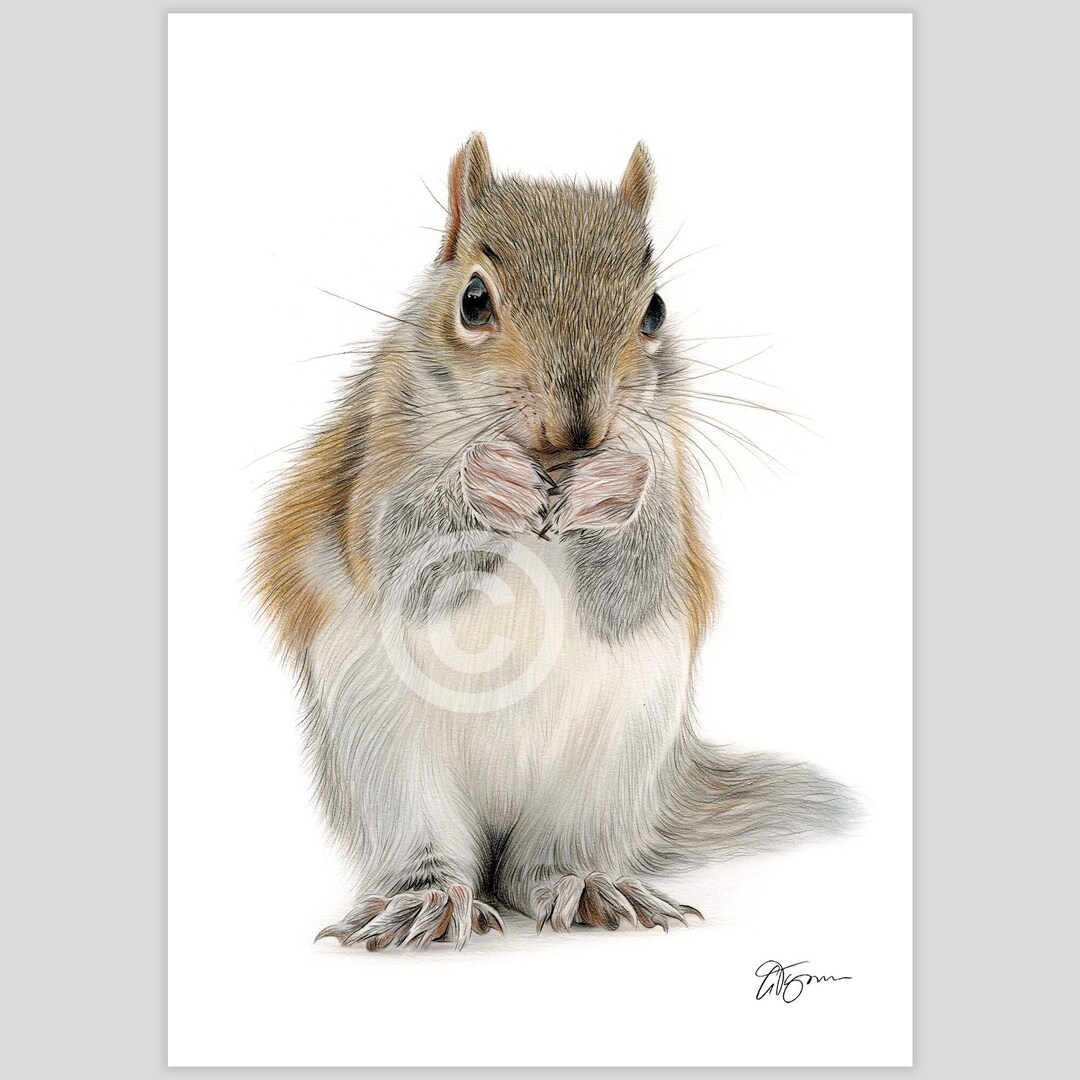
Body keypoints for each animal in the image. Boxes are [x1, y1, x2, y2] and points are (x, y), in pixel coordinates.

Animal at [252, 133, 855, 951]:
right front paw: (484, 481)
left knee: (534, 866)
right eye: (474, 301)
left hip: (614, 762)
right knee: (438, 850)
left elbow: (638, 582)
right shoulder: (371, 457)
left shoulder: (668, 472)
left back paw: (587, 885)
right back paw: (429, 899)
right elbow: (398, 552)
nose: (580, 429)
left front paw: (616, 487)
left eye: (655, 310)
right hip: (382, 756)